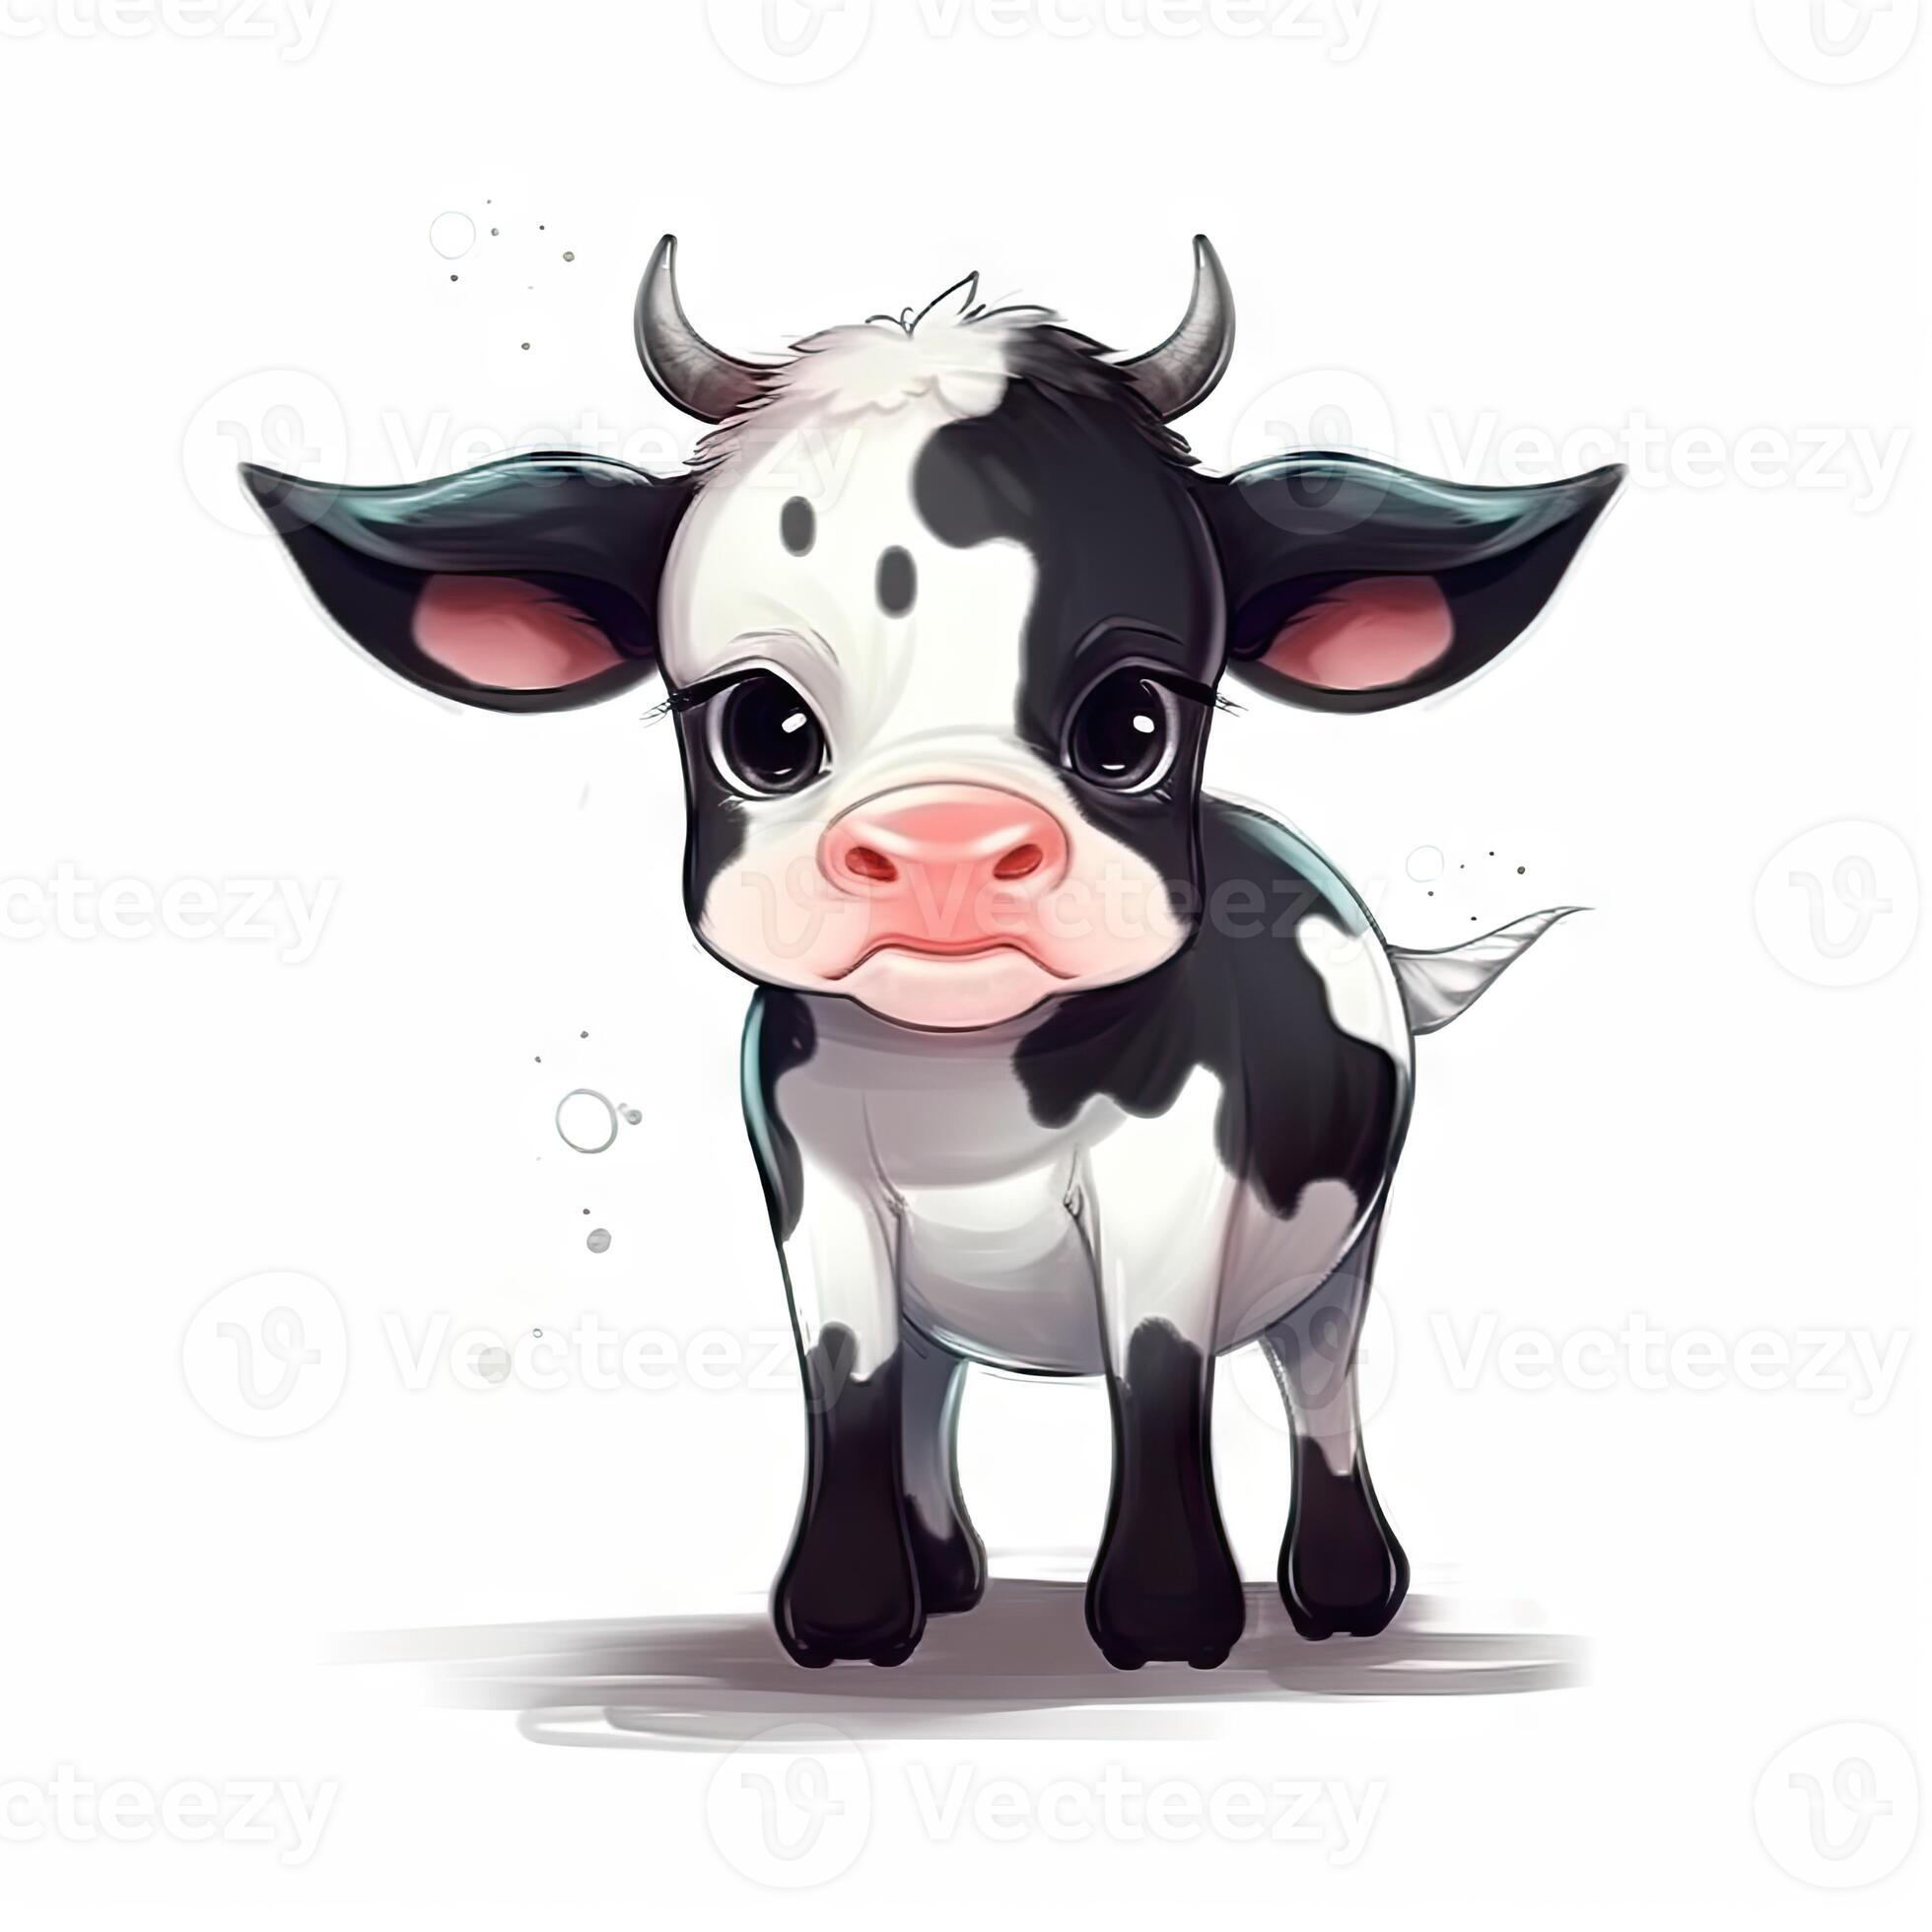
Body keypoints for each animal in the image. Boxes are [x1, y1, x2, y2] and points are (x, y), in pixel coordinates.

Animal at [242, 236, 1621, 1671]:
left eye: (1130, 723)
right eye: (765, 729)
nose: (945, 839)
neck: (960, 1094)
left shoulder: (1174, 1196)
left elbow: (1158, 1376)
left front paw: (1166, 1623)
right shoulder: (816, 1191)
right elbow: (849, 1383)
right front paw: (848, 1618)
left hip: (1344, 1246)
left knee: (1321, 1383)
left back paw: (1345, 1596)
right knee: (932, 1384)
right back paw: (951, 1574)